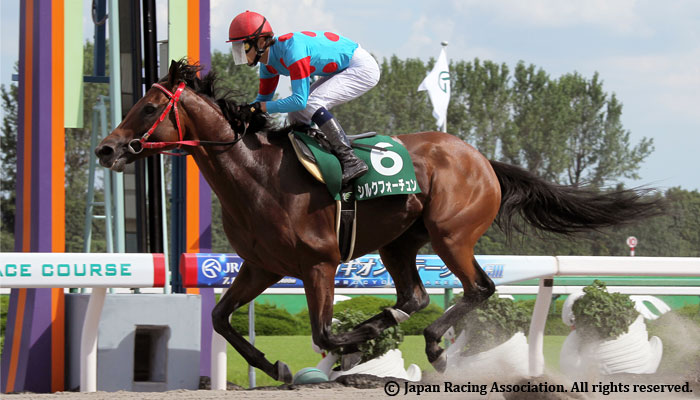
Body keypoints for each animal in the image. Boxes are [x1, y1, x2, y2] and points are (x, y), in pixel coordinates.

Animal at [95, 60, 664, 383]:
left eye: (148, 107)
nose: (106, 149)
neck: (257, 175)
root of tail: (481, 158)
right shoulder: (261, 267)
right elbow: (218, 319)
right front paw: (278, 365)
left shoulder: (319, 265)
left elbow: (324, 334)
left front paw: (346, 352)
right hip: (400, 242)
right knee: (414, 295)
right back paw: (387, 325)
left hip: (452, 234)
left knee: (478, 289)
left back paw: (433, 346)